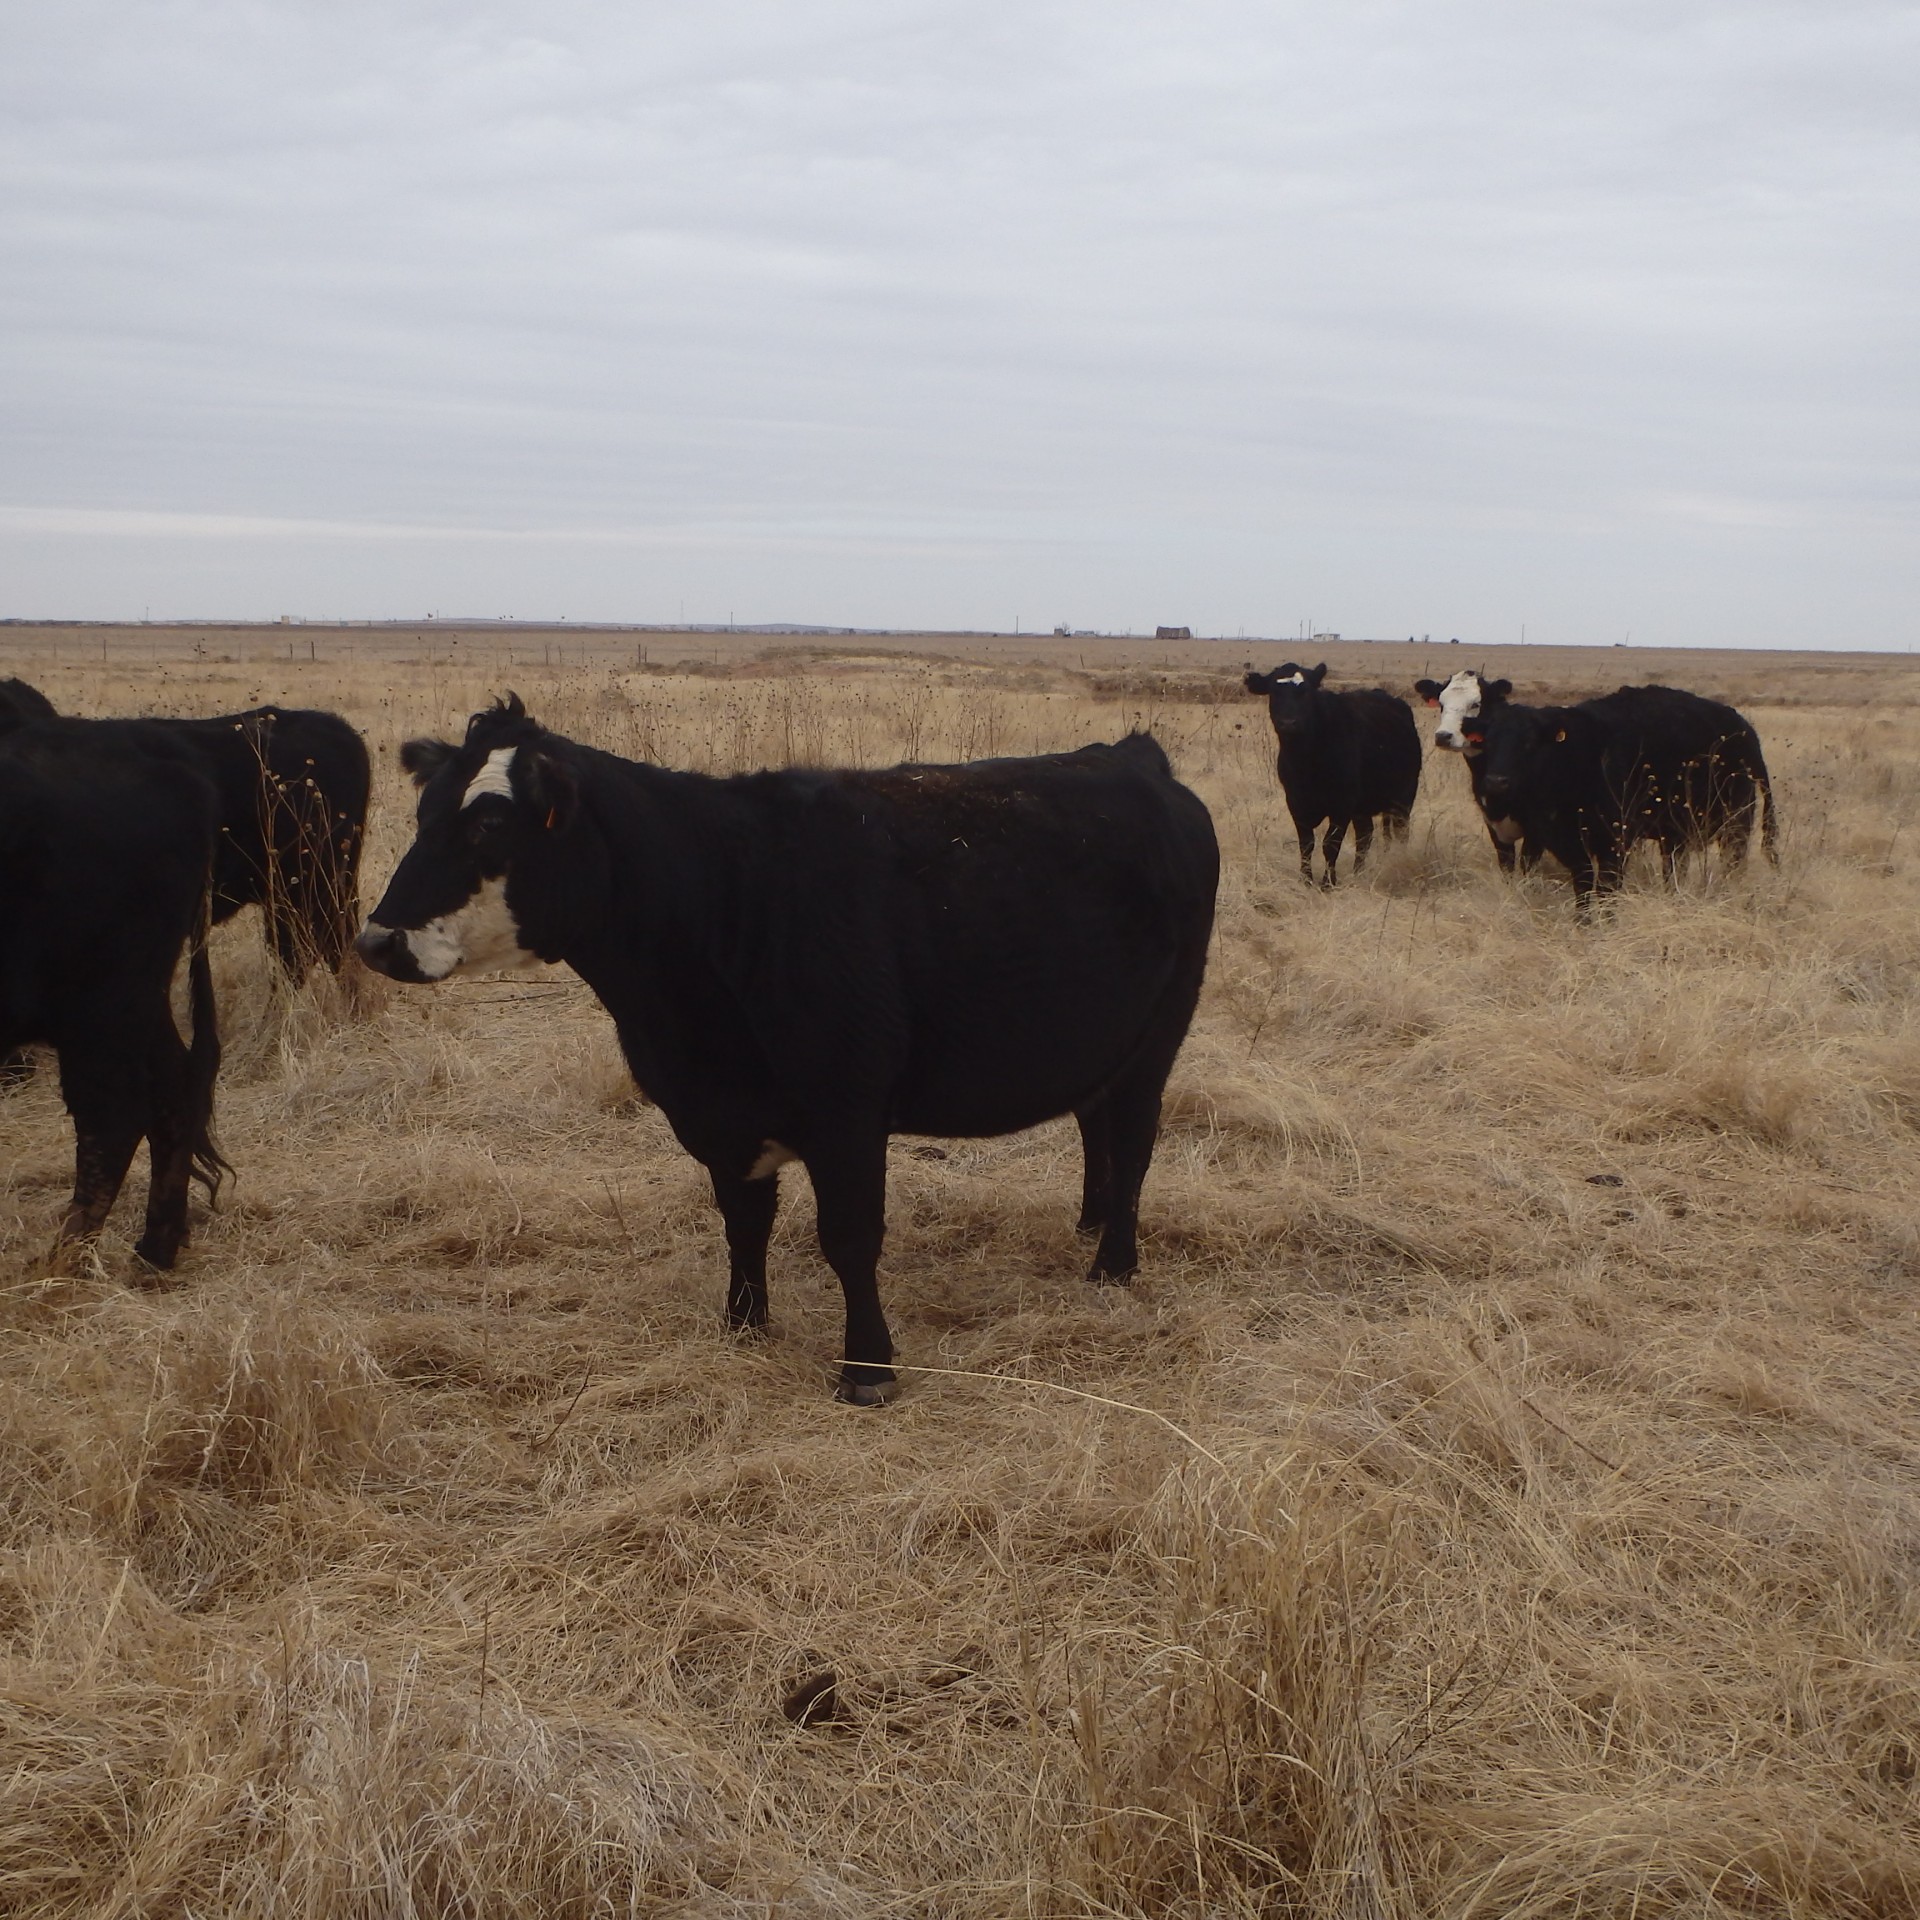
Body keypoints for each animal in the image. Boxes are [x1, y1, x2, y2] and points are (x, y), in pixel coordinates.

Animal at [0, 713, 229, 1270]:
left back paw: (59, 1267)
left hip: (99, 1007)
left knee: (112, 1115)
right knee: (175, 1085)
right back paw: (155, 1248)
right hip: (136, 1002)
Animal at [356, 696, 1219, 1404]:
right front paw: (744, 1323)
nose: (376, 940)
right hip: (1102, 1039)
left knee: (1134, 1142)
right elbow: (744, 1223)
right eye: (425, 813)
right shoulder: (716, 1113)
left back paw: (1113, 1263)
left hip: (1160, 1036)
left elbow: (850, 1238)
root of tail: (1130, 754)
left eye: (487, 824)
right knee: (1096, 1123)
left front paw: (867, 1368)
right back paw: (1089, 1223)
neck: (721, 903)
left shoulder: (847, 1113)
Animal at [1244, 662, 1420, 885]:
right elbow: (1306, 843)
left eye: (1306, 691)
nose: (1289, 723)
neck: (1305, 763)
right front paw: (1306, 879)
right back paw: (1358, 872)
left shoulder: (1341, 805)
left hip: (1404, 797)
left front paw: (1328, 883)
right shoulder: (1295, 802)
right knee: (1365, 835)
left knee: (1401, 831)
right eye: (1274, 692)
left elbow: (1330, 844)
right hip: (1363, 807)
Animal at [1473, 684, 1778, 911]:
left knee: (1732, 865)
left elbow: (1607, 889)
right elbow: (1583, 887)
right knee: (1674, 870)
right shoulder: (1568, 844)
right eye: (1489, 742)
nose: (1496, 781)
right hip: (1675, 835)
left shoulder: (1615, 842)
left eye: (1529, 742)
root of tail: (1745, 731)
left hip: (1736, 825)